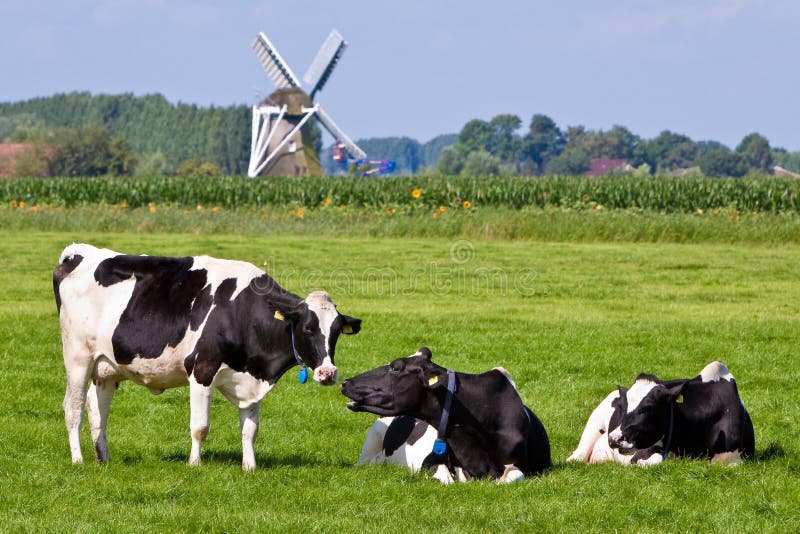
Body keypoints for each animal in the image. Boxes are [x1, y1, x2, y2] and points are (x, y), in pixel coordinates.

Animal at [53, 243, 361, 470]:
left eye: (336, 332)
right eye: (308, 328)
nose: (328, 373)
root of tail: (79, 252)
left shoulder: (252, 378)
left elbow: (250, 428)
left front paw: (250, 466)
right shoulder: (201, 369)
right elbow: (200, 427)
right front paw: (194, 464)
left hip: (107, 367)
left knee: (97, 409)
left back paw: (103, 458)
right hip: (78, 358)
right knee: (73, 407)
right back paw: (78, 460)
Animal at [341, 347, 551, 484]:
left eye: (395, 367)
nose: (345, 382)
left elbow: (510, 478)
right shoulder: (431, 461)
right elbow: (444, 479)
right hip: (371, 441)